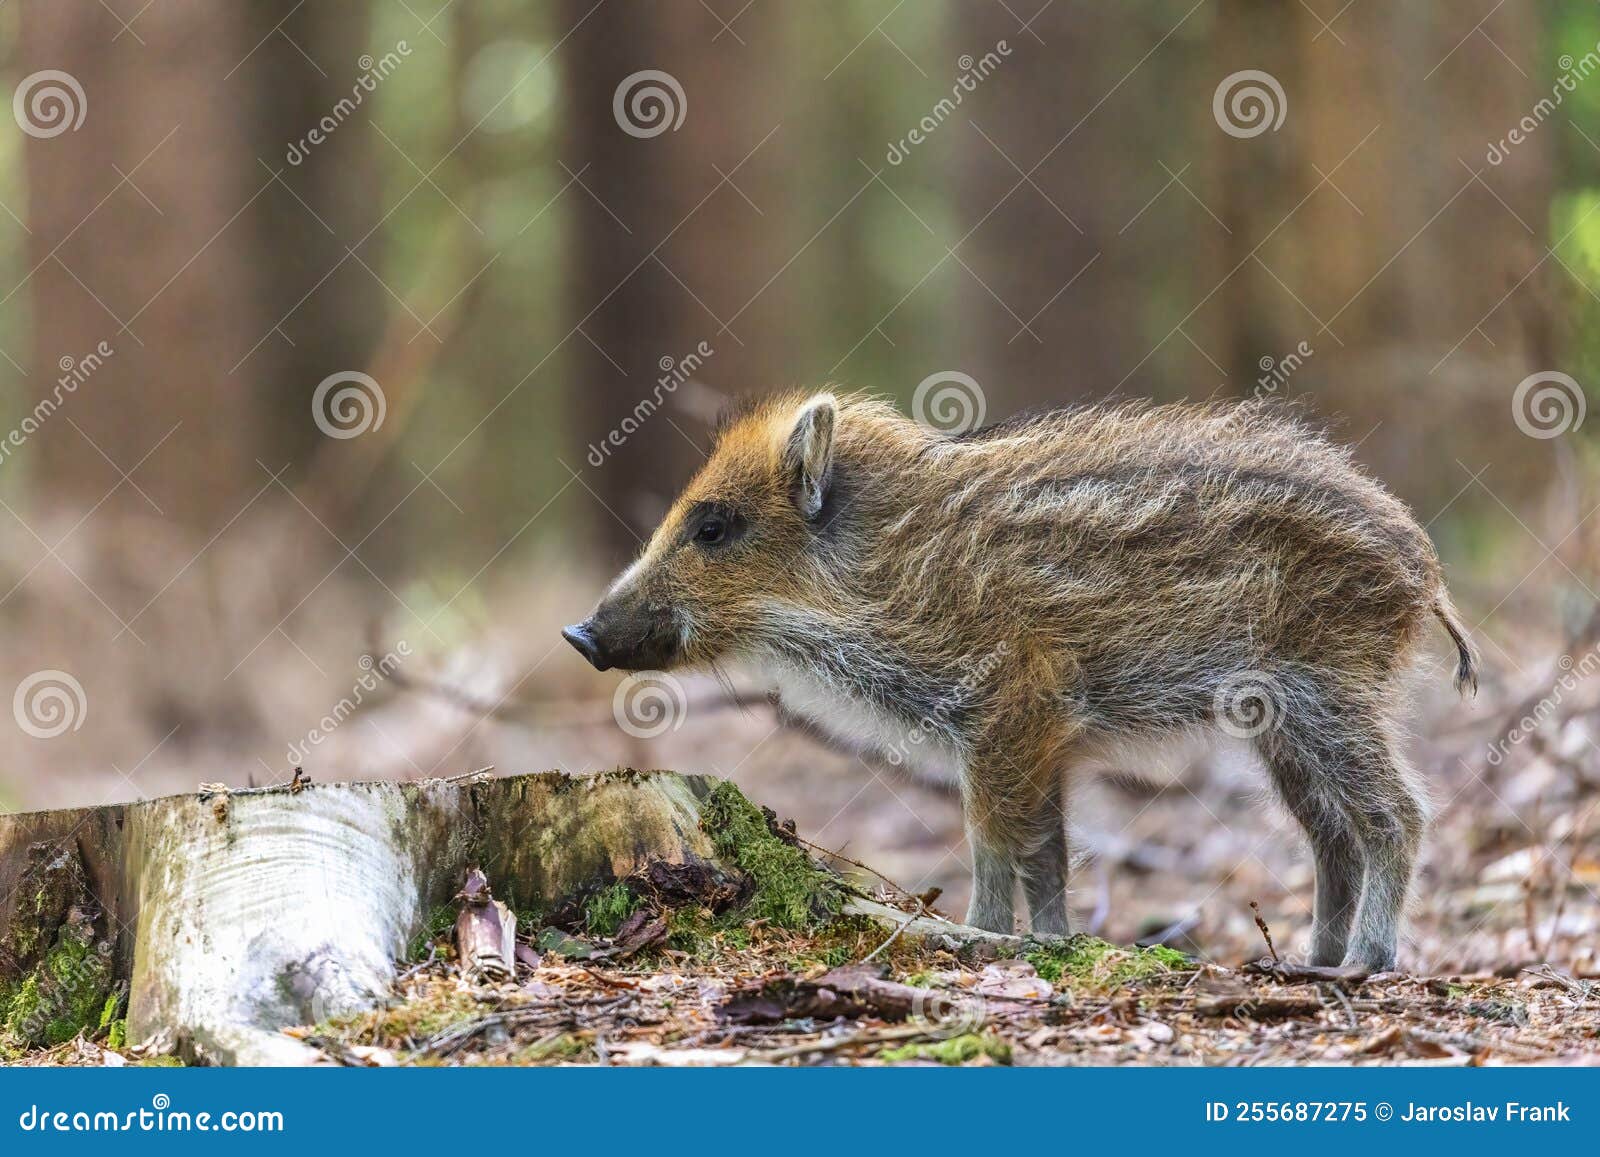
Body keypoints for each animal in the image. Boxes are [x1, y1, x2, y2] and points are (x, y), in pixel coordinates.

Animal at [562, 391, 1476, 972]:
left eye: (715, 526)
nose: (580, 632)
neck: (894, 570)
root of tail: (1423, 569)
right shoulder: (1029, 734)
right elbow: (1048, 850)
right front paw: (1046, 944)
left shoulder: (1014, 706)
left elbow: (995, 838)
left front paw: (981, 938)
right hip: (1285, 721)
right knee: (1329, 833)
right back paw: (1307, 962)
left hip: (1329, 690)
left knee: (1398, 813)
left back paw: (1366, 962)